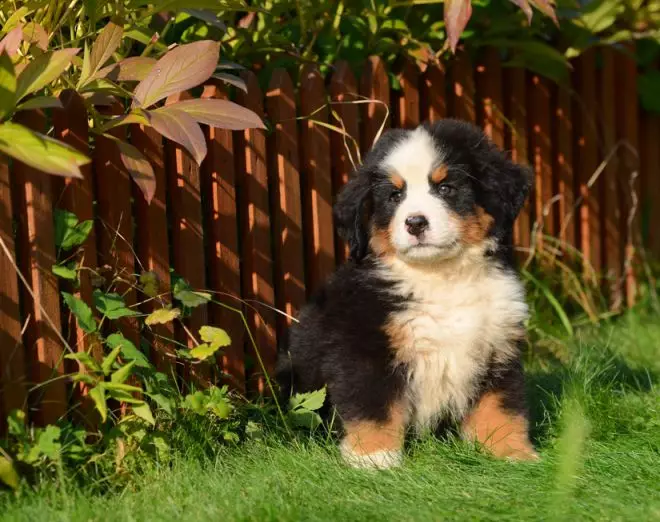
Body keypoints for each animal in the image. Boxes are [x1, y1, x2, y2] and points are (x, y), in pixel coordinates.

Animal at [276, 118, 540, 468]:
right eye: (394, 195)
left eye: (446, 188)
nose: (415, 222)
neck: (442, 277)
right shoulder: (365, 350)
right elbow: (374, 407)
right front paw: (374, 457)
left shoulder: (497, 347)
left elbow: (501, 407)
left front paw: (513, 454)